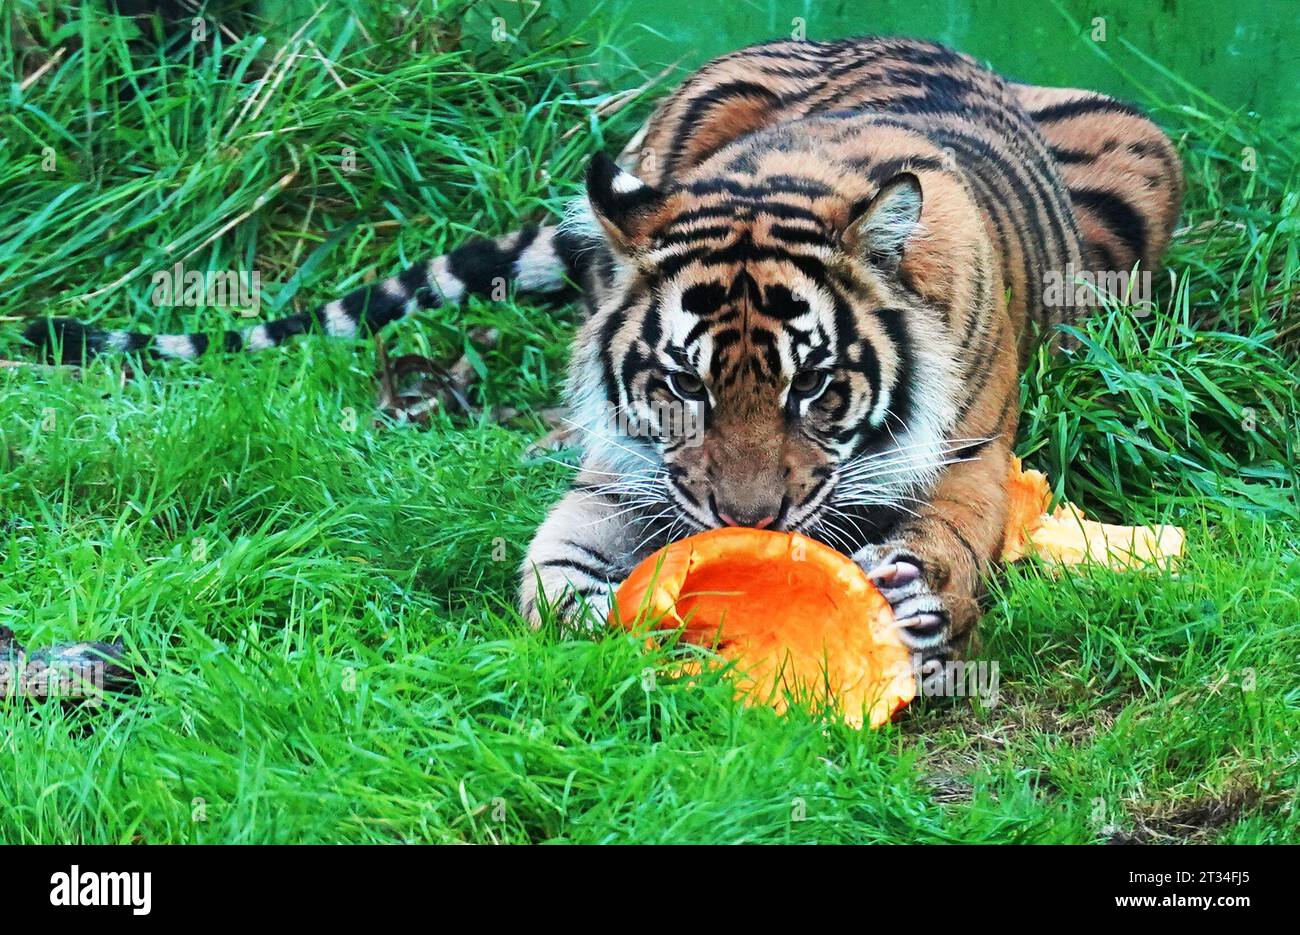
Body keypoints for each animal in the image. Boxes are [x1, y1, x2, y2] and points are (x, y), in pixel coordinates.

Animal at [24, 37, 1183, 675]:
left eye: (814, 386)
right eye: (682, 385)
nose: (751, 520)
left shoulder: (972, 457)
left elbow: (954, 530)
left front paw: (918, 592)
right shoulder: (628, 466)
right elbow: (564, 545)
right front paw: (575, 602)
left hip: (1146, 150)